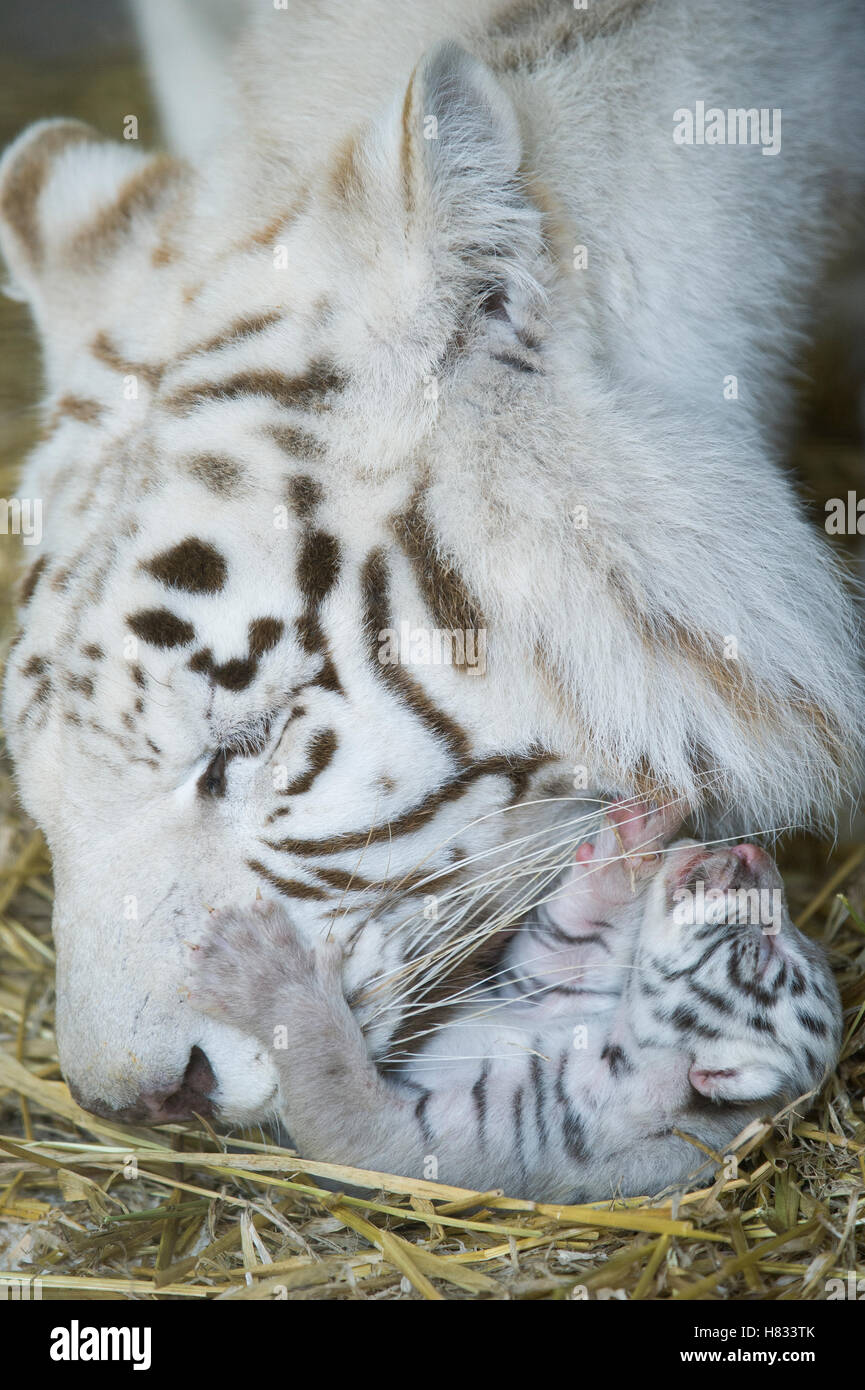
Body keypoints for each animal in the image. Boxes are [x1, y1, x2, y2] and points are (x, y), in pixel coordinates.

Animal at [190, 801, 841, 1200]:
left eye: (771, 957)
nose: (757, 855)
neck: (616, 1040)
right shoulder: (553, 982)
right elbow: (578, 927)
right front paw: (635, 842)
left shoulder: (407, 1142)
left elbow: (326, 1068)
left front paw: (259, 962)